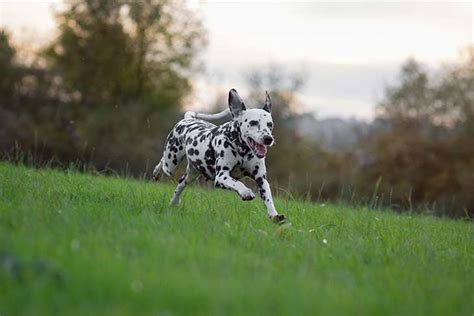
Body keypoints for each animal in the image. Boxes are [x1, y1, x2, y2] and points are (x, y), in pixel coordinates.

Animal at [153, 87, 286, 223]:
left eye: (270, 124)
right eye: (253, 123)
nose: (268, 138)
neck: (242, 152)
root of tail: (187, 119)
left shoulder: (261, 179)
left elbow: (268, 198)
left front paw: (274, 215)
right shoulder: (222, 176)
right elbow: (237, 183)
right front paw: (245, 192)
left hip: (192, 174)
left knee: (181, 183)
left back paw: (174, 202)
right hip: (171, 163)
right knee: (163, 162)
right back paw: (157, 172)